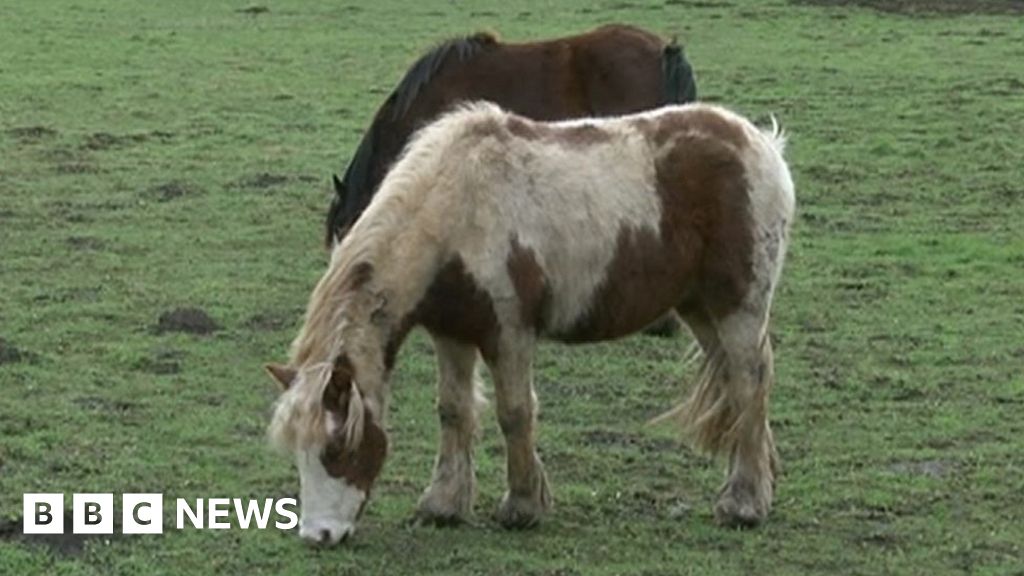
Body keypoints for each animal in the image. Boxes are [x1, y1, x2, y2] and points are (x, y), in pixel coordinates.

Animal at [267, 101, 795, 545]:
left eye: (337, 449)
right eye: (298, 449)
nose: (318, 536)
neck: (456, 211)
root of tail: (762, 144)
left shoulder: (509, 332)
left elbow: (515, 413)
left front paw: (522, 506)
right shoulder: (452, 333)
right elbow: (453, 411)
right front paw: (444, 504)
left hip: (738, 307)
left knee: (749, 384)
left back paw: (744, 504)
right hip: (700, 309)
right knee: (735, 387)